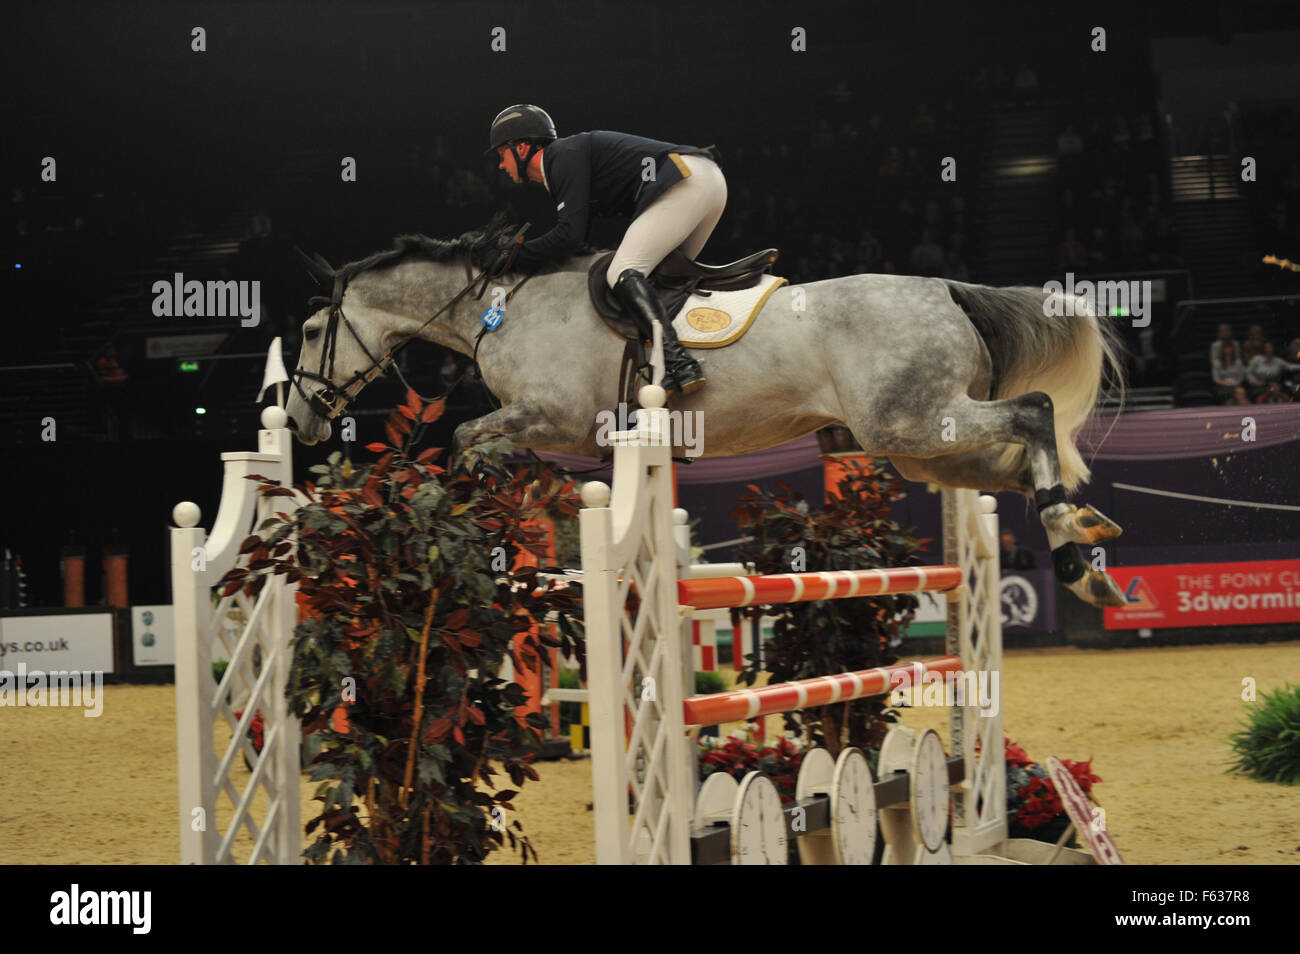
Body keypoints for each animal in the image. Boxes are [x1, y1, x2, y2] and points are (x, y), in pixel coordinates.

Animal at [285, 230, 1127, 607]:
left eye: (310, 330)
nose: (298, 422)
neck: (502, 308)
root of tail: (948, 288)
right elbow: (477, 443)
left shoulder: (553, 417)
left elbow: (465, 438)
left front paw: (466, 516)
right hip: (925, 446)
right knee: (1015, 460)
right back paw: (1081, 542)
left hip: (912, 424)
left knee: (1034, 412)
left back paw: (1073, 545)